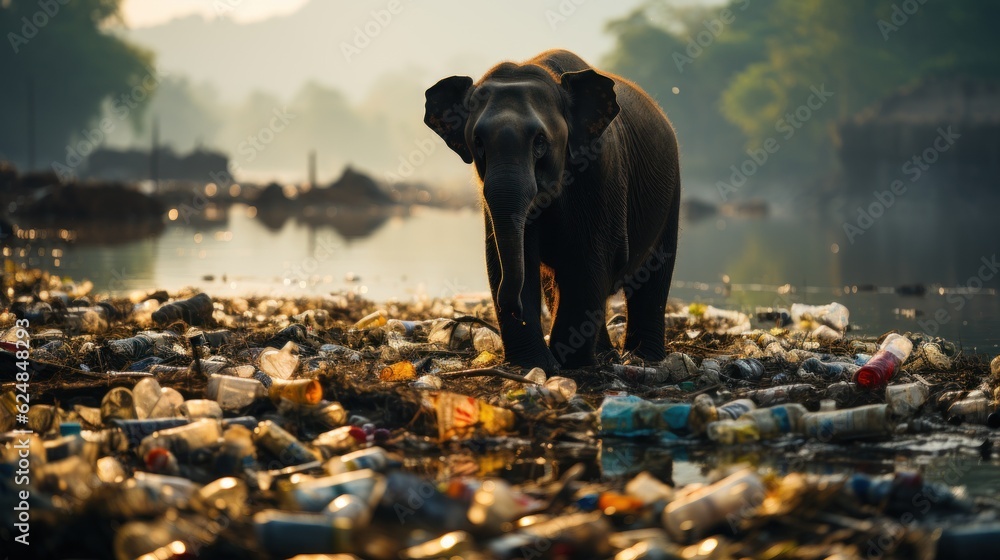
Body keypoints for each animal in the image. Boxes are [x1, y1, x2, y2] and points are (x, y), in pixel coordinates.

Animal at [424, 49, 680, 371]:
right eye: (478, 142)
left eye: (540, 142)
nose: (514, 308)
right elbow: (508, 258)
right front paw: (535, 365)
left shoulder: (600, 171)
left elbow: (589, 258)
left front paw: (569, 364)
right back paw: (607, 356)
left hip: (672, 193)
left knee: (653, 273)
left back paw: (642, 358)